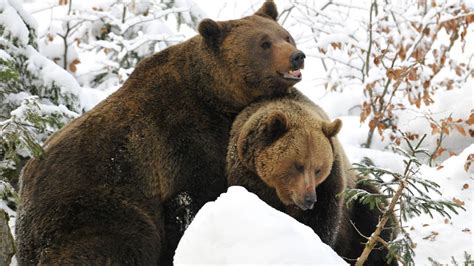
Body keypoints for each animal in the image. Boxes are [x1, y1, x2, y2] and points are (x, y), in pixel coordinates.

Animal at [15, 1, 308, 264]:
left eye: (285, 35)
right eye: (264, 43)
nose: (297, 55)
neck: (216, 97)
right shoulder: (183, 138)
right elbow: (194, 196)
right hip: (90, 208)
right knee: (125, 238)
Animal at [228, 94, 398, 264]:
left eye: (318, 169)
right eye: (298, 165)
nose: (309, 199)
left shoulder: (329, 185)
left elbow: (321, 222)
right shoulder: (251, 177)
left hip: (359, 203)